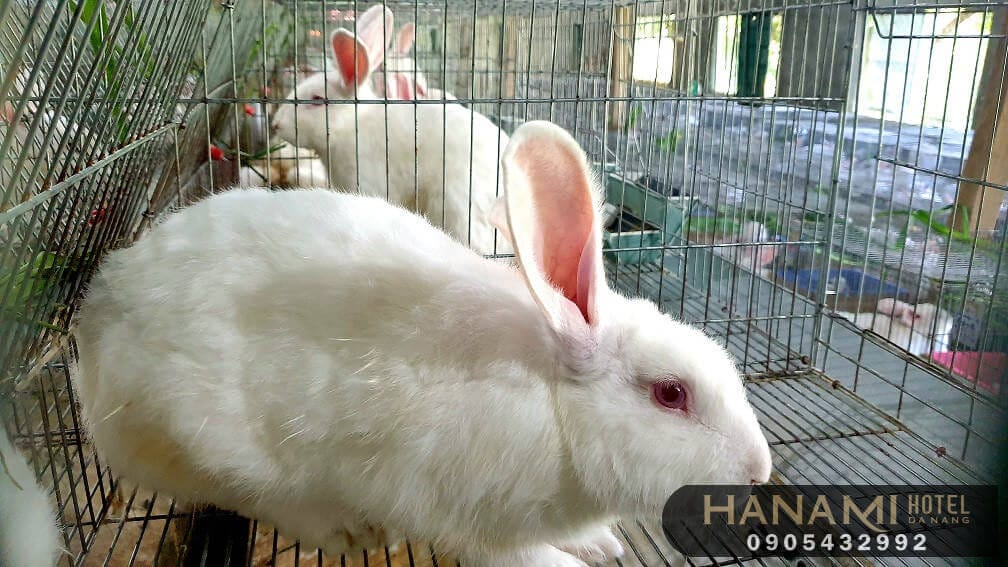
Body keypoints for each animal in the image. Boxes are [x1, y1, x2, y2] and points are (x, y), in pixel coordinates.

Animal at [72, 121, 772, 567]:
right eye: (671, 394)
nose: (760, 471)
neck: (555, 406)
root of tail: (99, 313)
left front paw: (602, 543)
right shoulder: (467, 514)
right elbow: (511, 553)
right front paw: (574, 560)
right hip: (220, 451)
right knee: (269, 500)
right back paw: (351, 537)